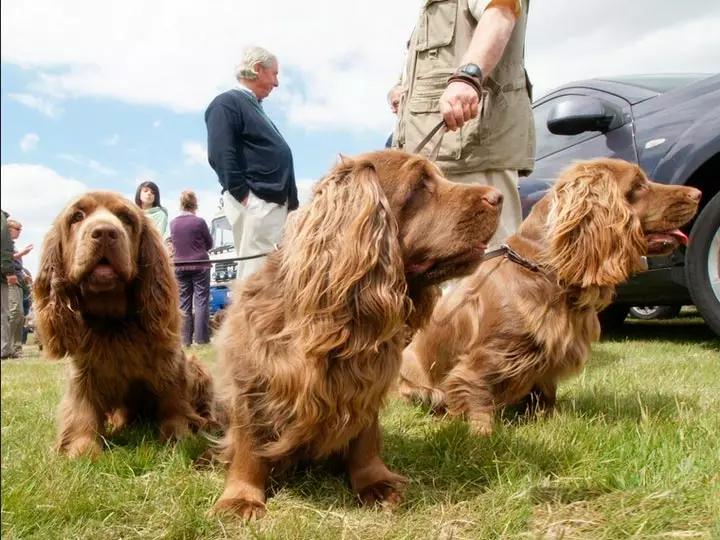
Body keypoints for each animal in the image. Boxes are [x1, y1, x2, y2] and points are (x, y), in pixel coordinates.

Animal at [208, 149, 500, 520]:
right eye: (420, 184)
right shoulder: (253, 378)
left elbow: (365, 438)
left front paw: (375, 483)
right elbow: (249, 445)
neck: (339, 320)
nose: (498, 197)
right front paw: (241, 498)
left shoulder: (367, 382)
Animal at [396, 158, 700, 436]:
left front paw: (548, 420)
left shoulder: (548, 360)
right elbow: (476, 393)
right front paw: (480, 433)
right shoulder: (485, 358)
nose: (697, 193)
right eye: (637, 186)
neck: (542, 271)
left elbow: (546, 394)